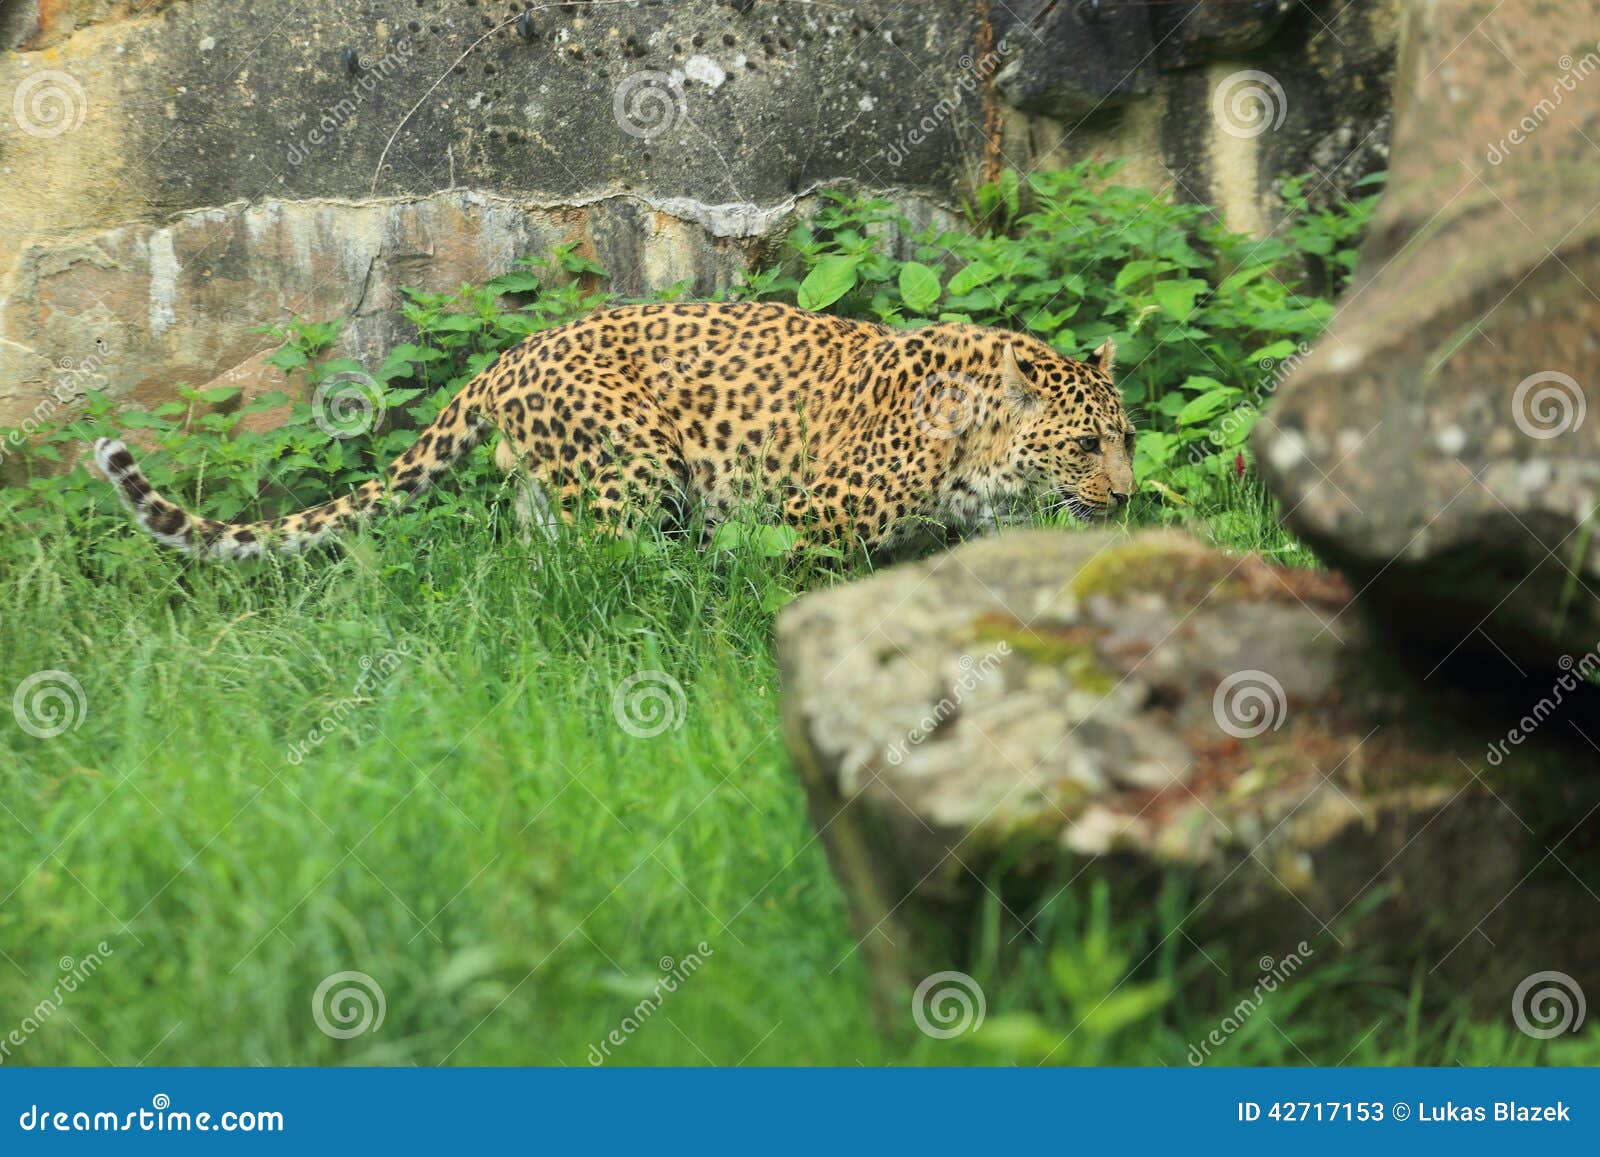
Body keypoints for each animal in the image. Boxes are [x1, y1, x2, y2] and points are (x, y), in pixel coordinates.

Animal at [94, 300, 1135, 561]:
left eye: (1127, 439)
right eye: (1087, 444)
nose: (1128, 497)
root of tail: (510, 355)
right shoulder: (819, 510)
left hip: (553, 486)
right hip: (634, 465)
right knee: (616, 563)